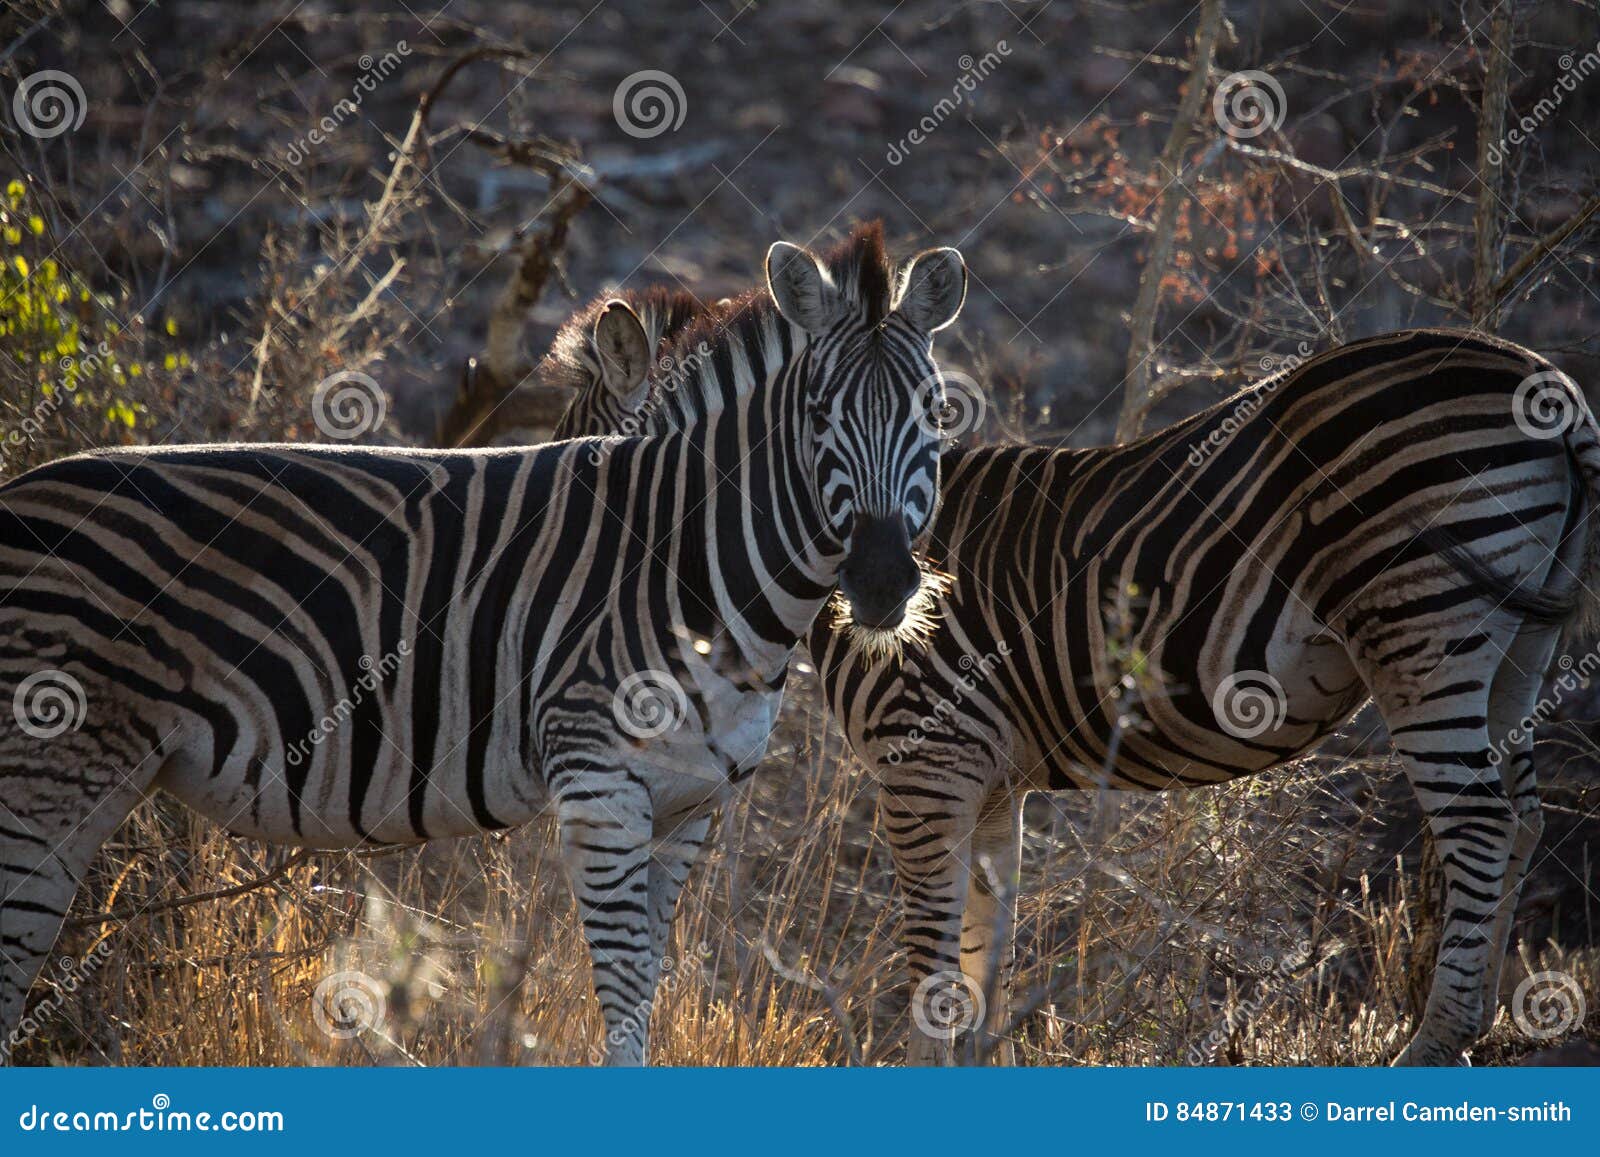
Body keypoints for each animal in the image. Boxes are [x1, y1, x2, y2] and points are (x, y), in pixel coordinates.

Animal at [0, 222, 967, 1065]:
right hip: (47, 771)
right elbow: (621, 993)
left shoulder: (693, 804)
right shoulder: (599, 781)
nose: (883, 579)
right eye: (817, 414)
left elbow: (647, 986)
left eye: (936, 412)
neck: (687, 564)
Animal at [805, 329, 1600, 1066]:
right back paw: (1485, 1023)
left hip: (1419, 625)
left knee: (1480, 823)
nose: (886, 594)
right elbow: (983, 948)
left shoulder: (925, 758)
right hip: (1519, 651)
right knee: (1523, 817)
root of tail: (1548, 381)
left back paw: (1437, 1041)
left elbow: (935, 949)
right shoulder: (990, 778)